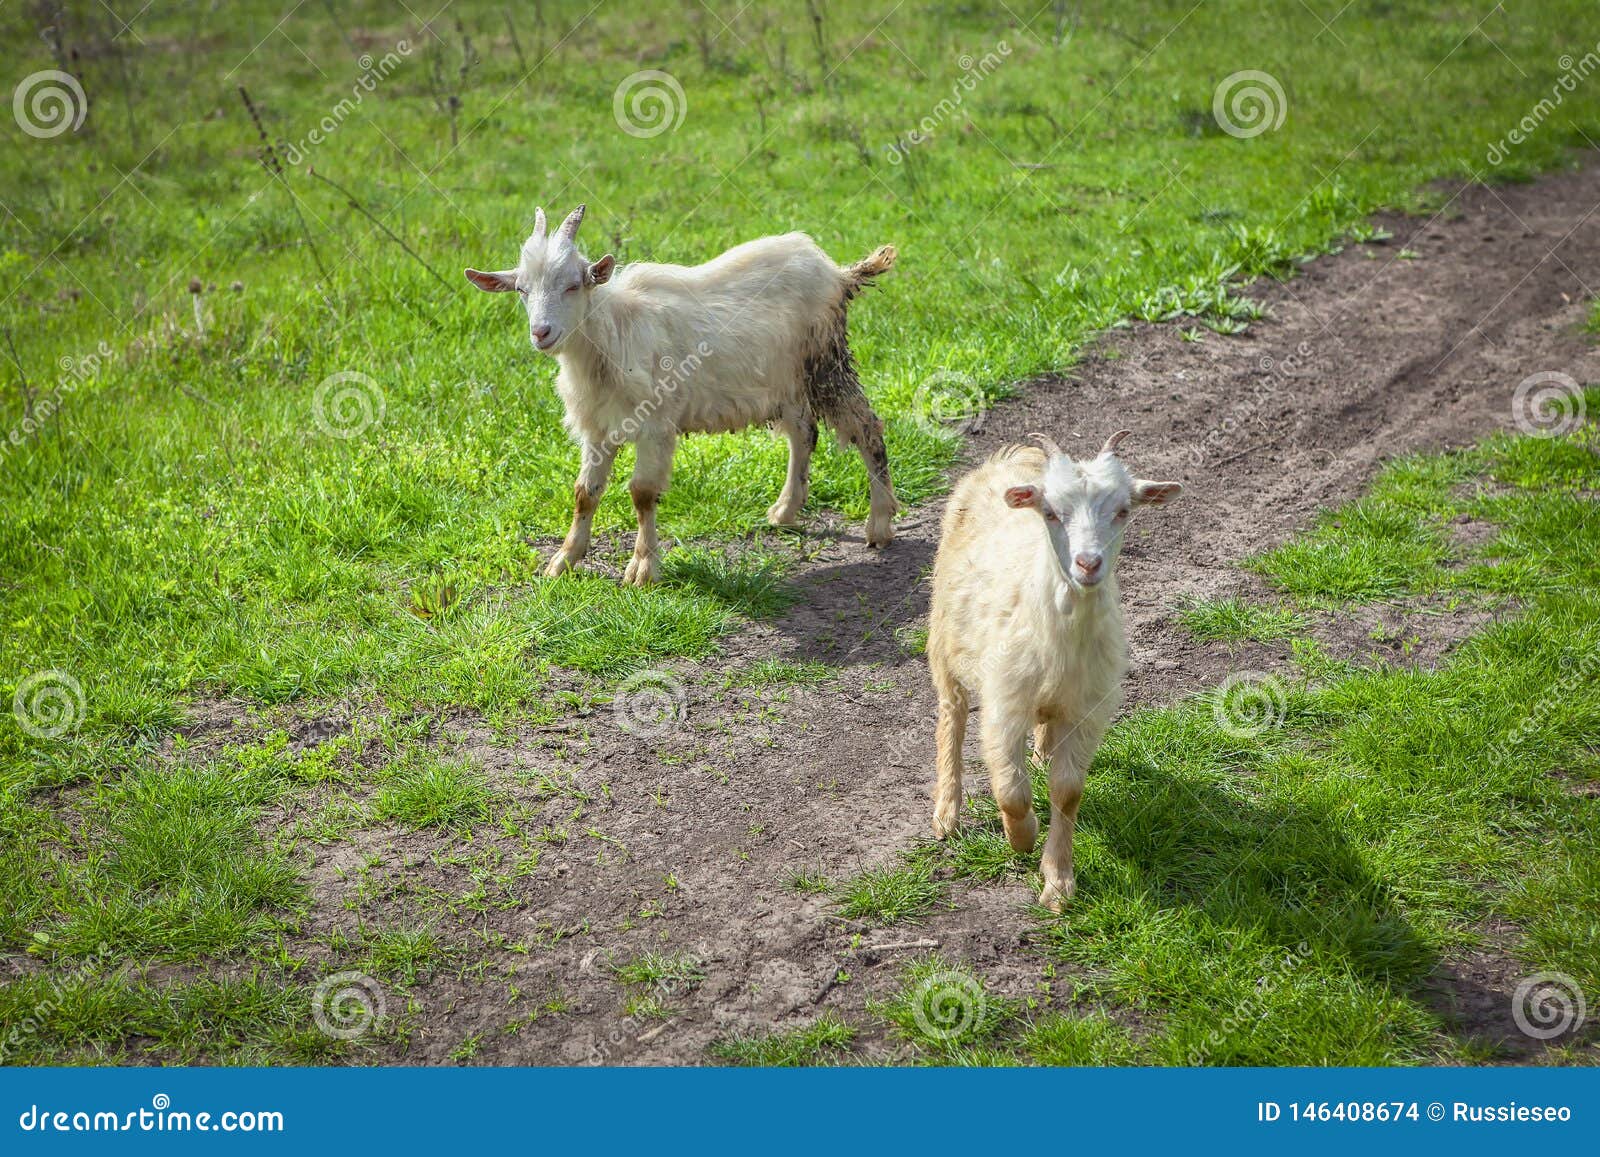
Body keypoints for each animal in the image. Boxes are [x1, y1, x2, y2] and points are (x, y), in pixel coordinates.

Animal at [465, 204, 900, 586]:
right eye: (522, 289)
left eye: (574, 284)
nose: (541, 332)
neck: (611, 335)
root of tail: (836, 272)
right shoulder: (598, 428)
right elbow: (584, 494)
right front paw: (564, 560)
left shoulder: (656, 425)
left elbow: (641, 493)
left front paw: (642, 569)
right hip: (786, 380)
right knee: (803, 432)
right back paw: (786, 510)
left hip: (824, 361)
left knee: (866, 427)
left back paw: (879, 523)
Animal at [926, 430, 1181, 910]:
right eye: (1050, 512)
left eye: (1123, 511)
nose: (1088, 563)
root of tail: (1008, 459)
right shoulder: (1003, 702)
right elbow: (1011, 791)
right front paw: (1022, 837)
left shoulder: (1085, 709)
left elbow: (1067, 791)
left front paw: (1059, 883)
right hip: (944, 641)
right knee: (951, 716)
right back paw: (947, 812)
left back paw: (1041, 751)